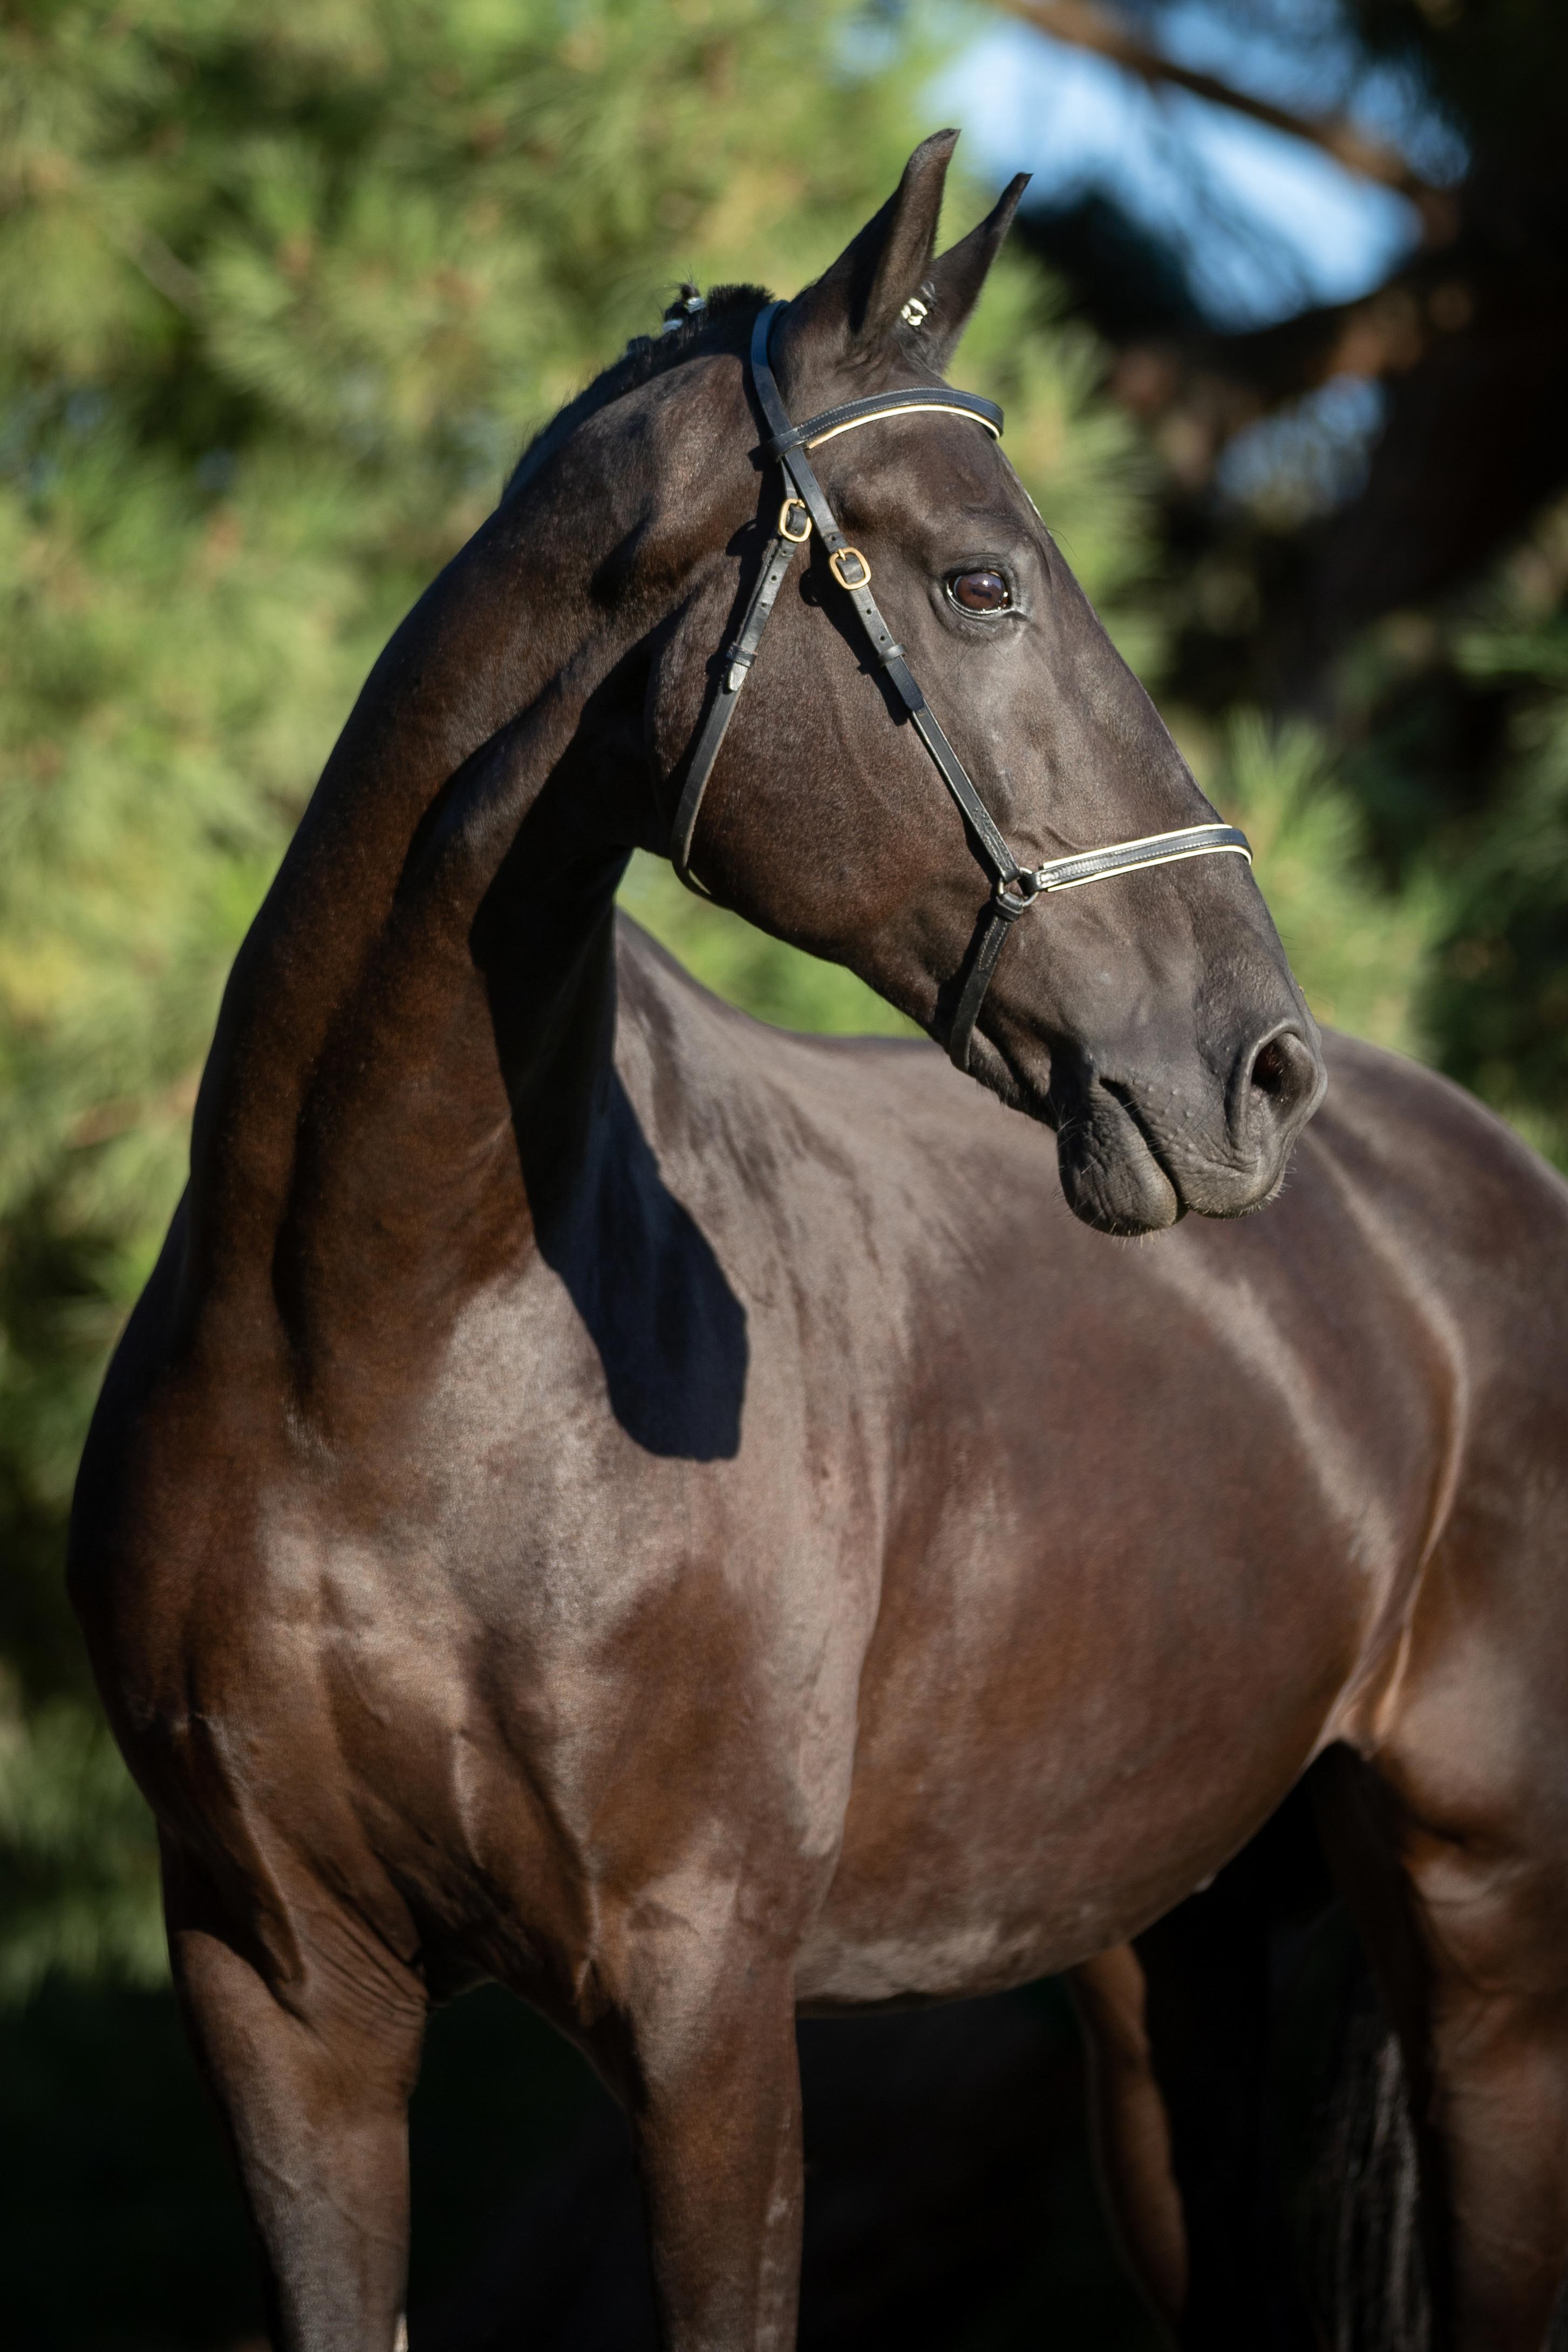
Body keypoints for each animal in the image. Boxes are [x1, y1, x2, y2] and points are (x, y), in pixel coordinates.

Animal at [68, 130, 1568, 2349]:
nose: (1254, 1066)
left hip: (1485, 1938)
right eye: (980, 583)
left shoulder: (705, 2005)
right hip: (1167, 1965)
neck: (385, 1343)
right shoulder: (281, 1997)